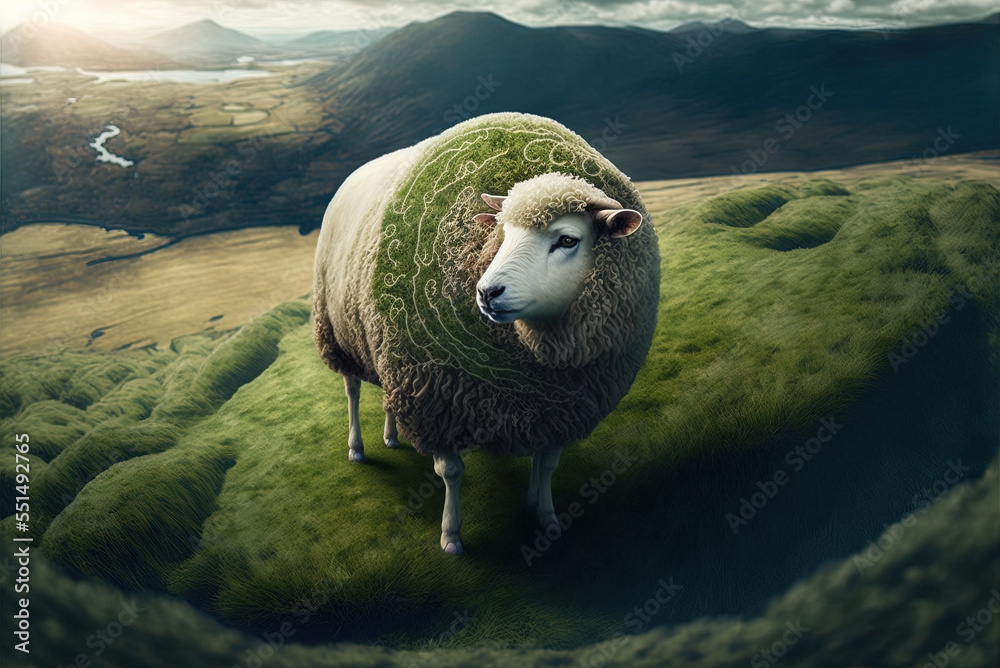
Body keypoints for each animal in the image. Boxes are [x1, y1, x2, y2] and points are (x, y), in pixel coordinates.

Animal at [313, 112, 660, 555]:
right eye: (502, 233)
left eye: (567, 239)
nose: (486, 292)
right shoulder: (438, 401)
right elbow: (451, 472)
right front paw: (451, 536)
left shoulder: (561, 407)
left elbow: (547, 462)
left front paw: (545, 514)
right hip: (338, 333)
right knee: (353, 391)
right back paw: (357, 448)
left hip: (382, 345)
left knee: (388, 396)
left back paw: (391, 436)